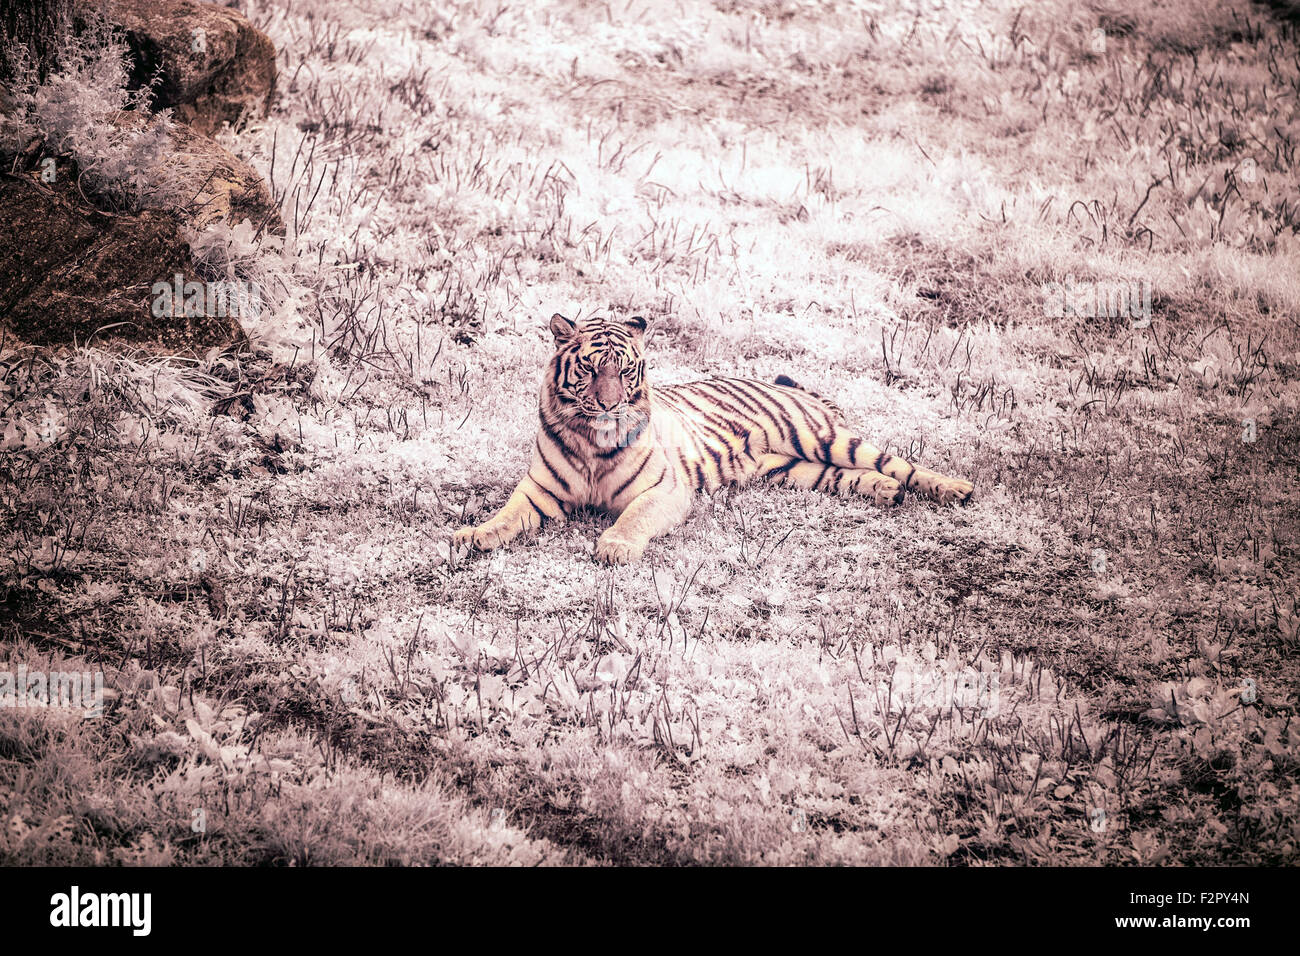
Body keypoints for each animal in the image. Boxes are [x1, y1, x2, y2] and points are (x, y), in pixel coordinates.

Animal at [453, 313, 973, 564]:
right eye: (589, 368)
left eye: (624, 370)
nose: (609, 406)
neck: (592, 442)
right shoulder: (538, 491)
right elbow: (506, 516)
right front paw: (474, 535)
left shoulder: (663, 490)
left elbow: (634, 517)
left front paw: (615, 546)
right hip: (791, 470)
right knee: (848, 476)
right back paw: (886, 492)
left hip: (821, 437)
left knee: (896, 461)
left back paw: (954, 489)